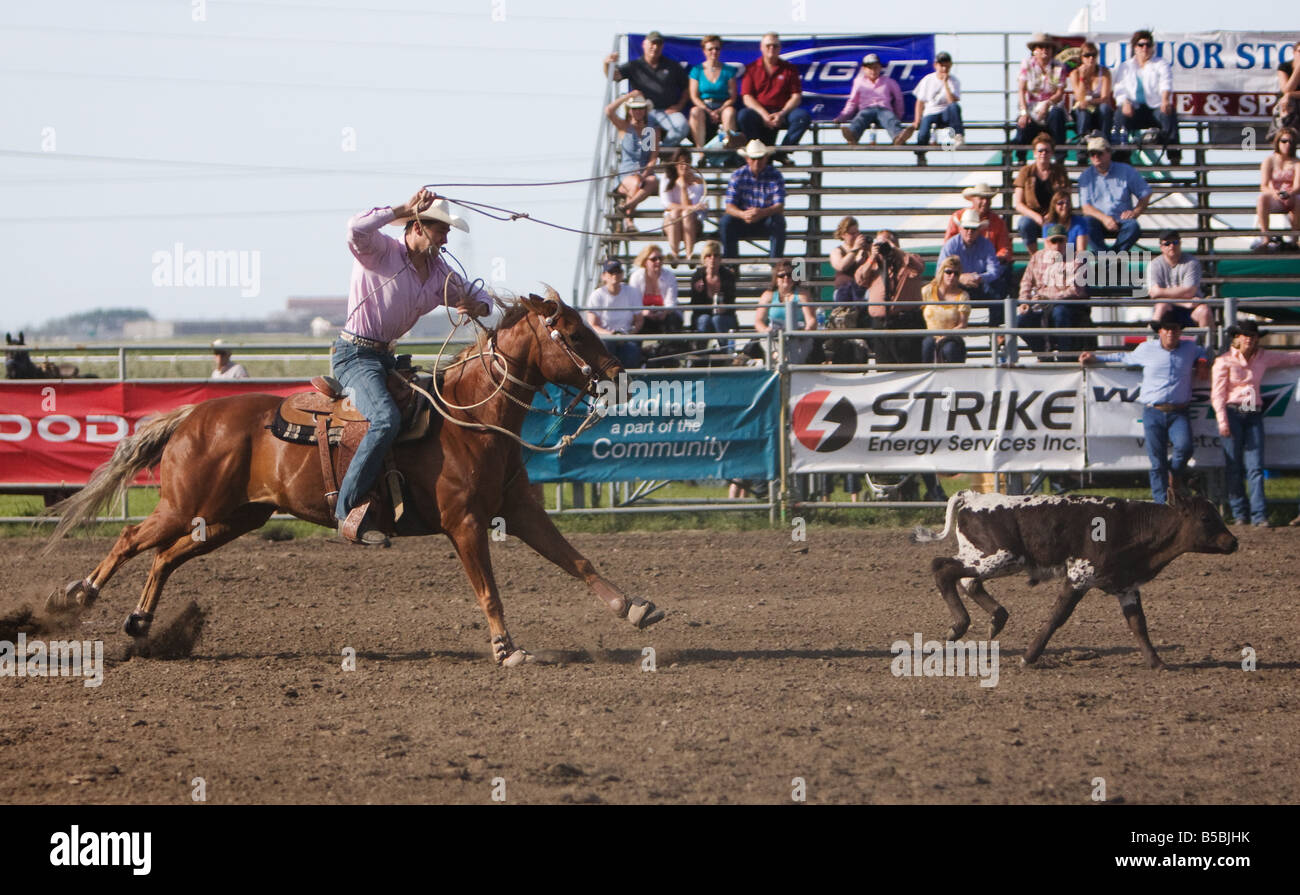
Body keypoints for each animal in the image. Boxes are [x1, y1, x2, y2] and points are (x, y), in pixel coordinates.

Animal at [912, 489, 1238, 668]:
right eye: (1206, 518)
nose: (1233, 542)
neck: (1130, 526)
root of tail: (974, 497)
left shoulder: (1126, 586)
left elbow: (1138, 625)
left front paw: (1157, 662)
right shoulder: (1079, 576)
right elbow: (1057, 617)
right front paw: (1028, 657)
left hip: (984, 557)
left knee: (966, 579)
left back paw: (996, 619)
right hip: (1000, 556)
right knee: (943, 568)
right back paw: (959, 626)